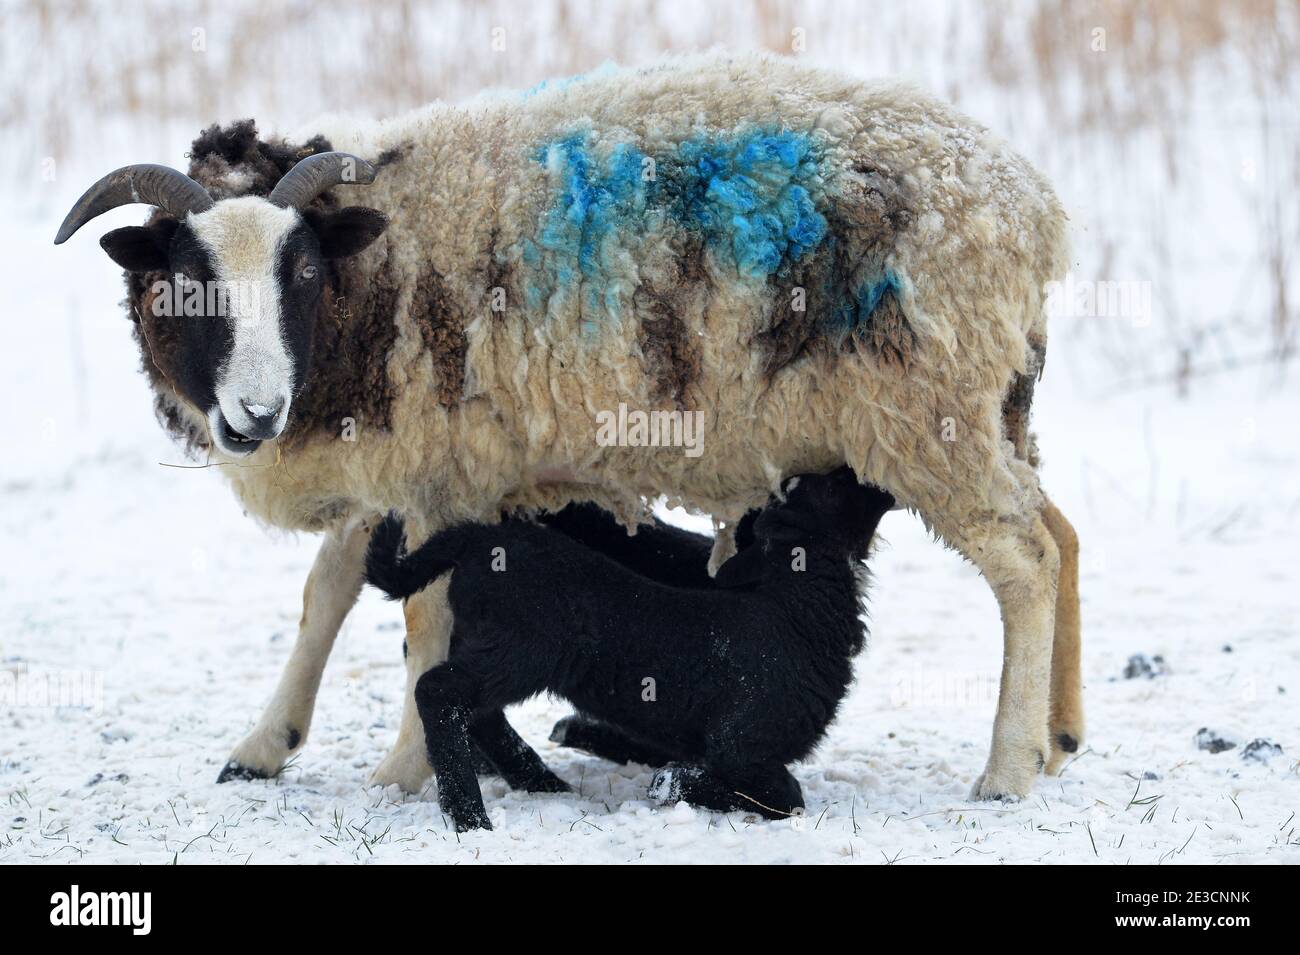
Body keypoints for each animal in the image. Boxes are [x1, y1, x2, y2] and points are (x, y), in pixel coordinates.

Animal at [364, 468, 893, 830]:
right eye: (829, 490)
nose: (876, 482)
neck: (797, 605)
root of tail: (477, 538)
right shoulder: (740, 743)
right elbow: (787, 795)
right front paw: (675, 785)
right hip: (520, 652)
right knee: (437, 691)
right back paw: (468, 814)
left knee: (473, 709)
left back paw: (539, 783)